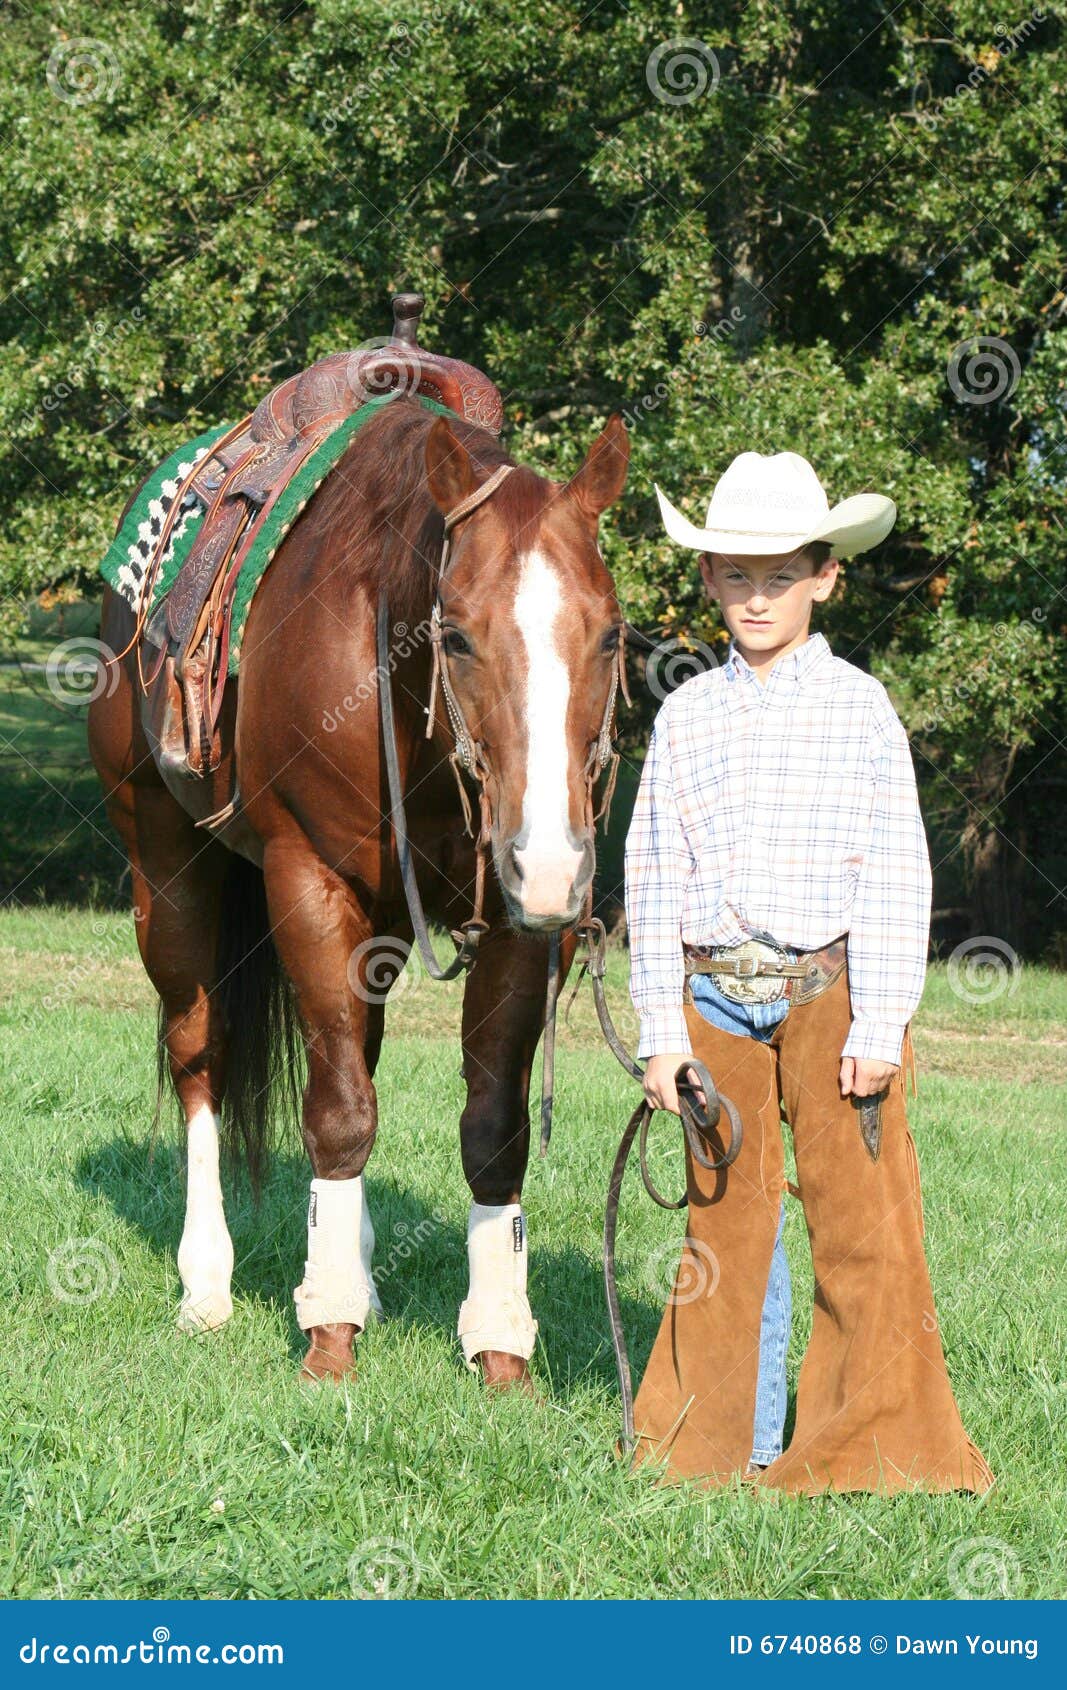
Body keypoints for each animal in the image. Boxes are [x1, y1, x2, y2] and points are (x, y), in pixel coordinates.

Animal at [89, 391, 630, 1391]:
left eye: (610, 635)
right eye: (454, 635)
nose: (551, 861)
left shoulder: (521, 923)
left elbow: (492, 1127)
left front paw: (498, 1340)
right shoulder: (309, 881)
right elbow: (337, 1116)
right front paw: (329, 1333)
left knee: (356, 1050)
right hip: (167, 876)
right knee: (198, 1055)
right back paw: (207, 1286)